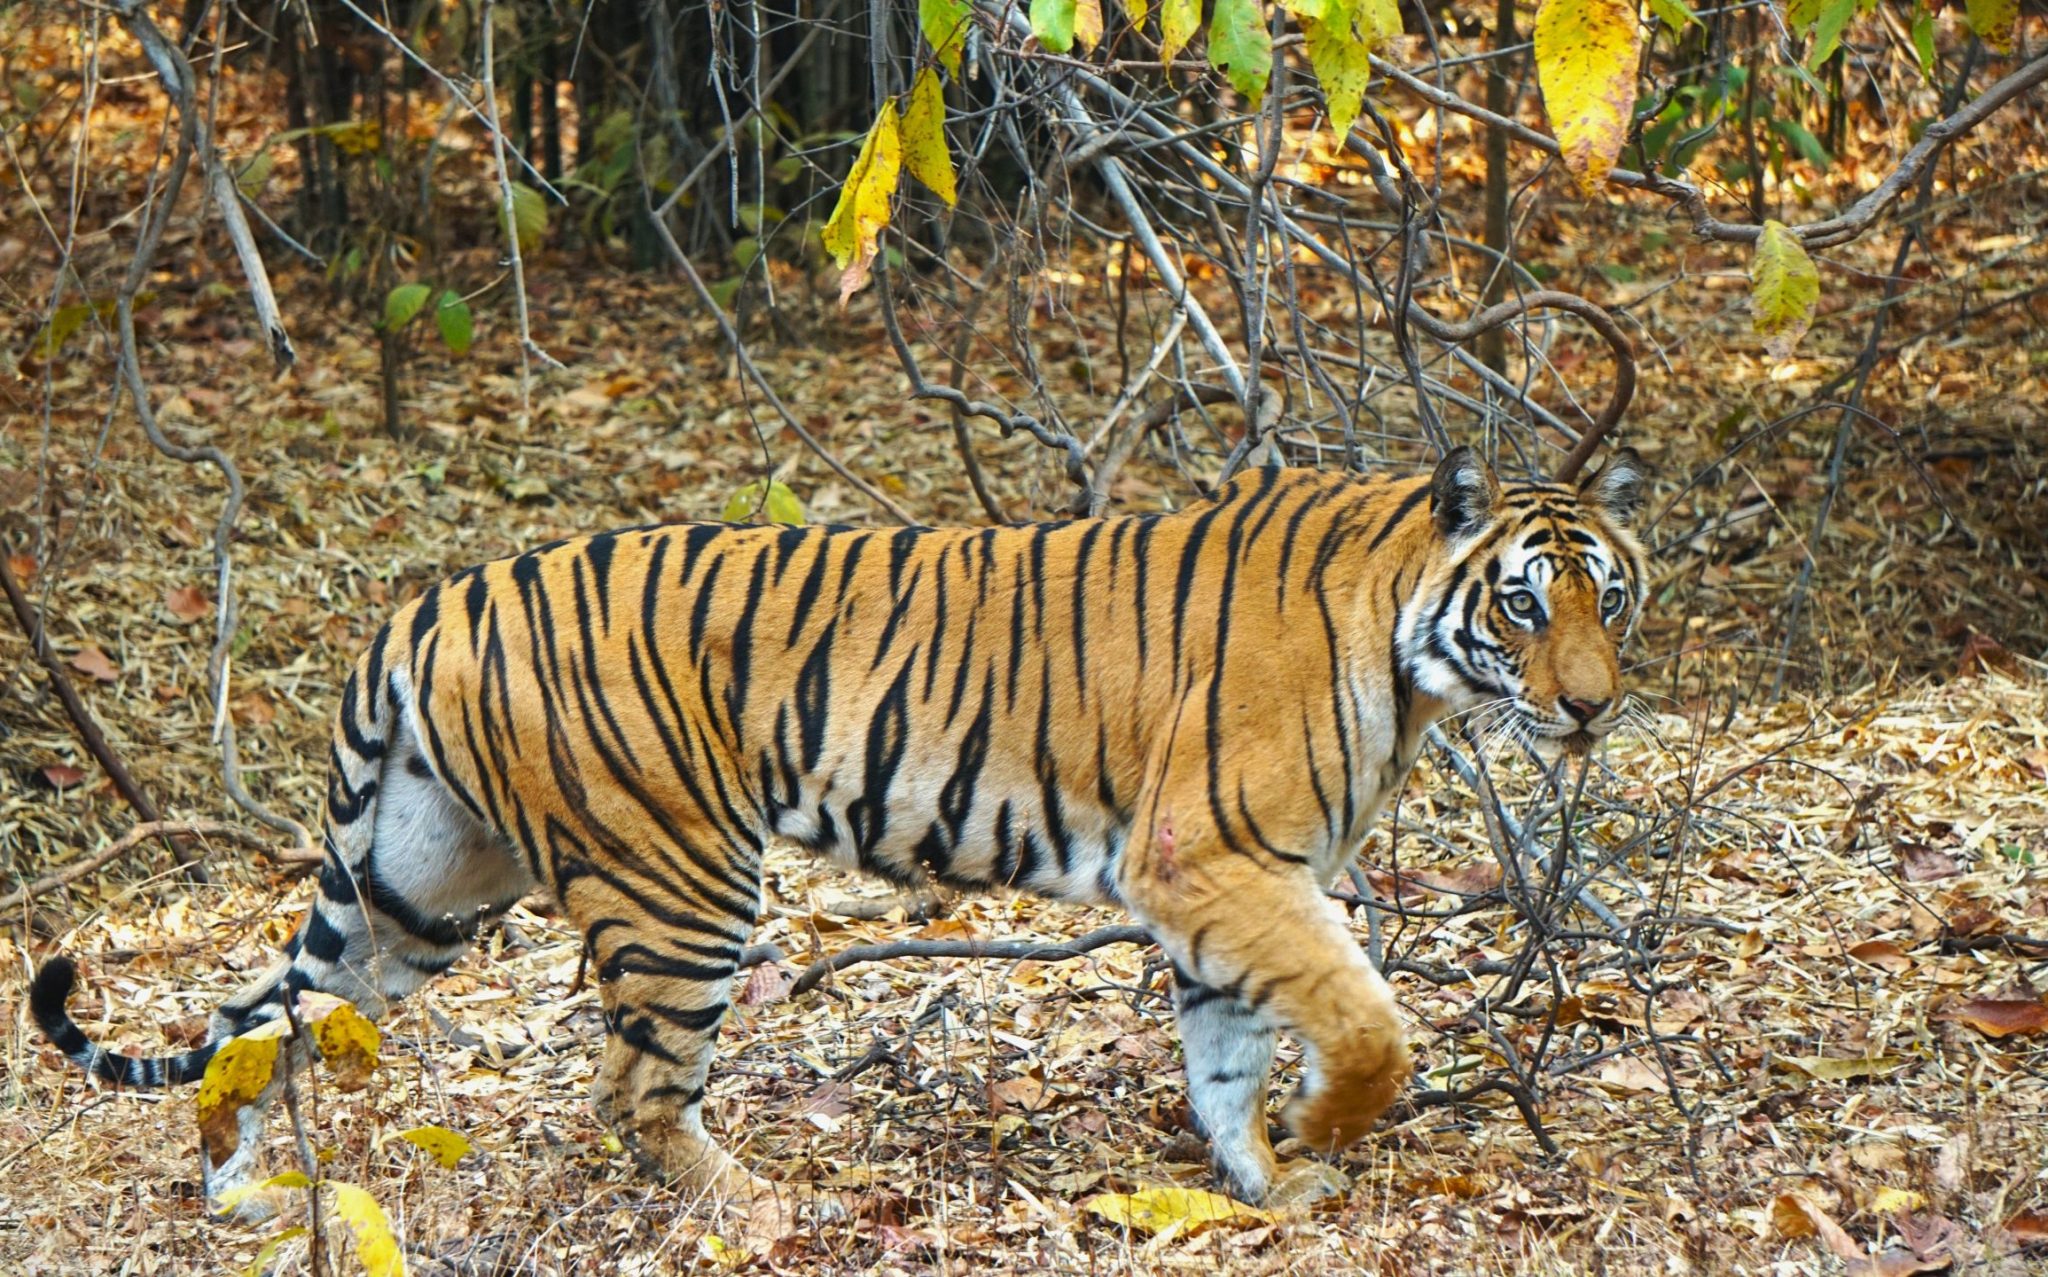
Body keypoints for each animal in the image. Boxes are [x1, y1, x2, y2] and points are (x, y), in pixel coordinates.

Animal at [32, 445, 1648, 1220]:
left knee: (256, 1019)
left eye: (1608, 594)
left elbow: (1225, 1048)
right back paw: (757, 1207)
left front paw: (1261, 1178)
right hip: (680, 881)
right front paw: (1317, 1136)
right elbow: (1364, 1020)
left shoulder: (1224, 887)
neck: (1409, 650)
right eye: (1523, 600)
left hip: (421, 885)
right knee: (633, 1090)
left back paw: (239, 1187)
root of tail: (430, 600)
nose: (1587, 707)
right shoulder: (1209, 855)